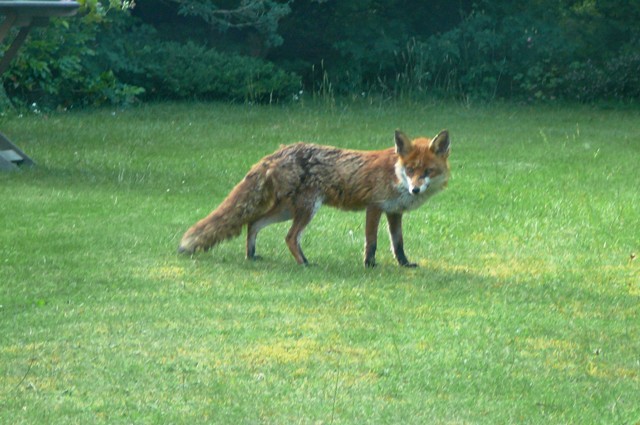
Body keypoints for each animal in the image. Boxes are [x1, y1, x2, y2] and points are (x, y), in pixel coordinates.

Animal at [178, 129, 451, 267]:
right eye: (410, 170)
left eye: (427, 172)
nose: (415, 190)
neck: (395, 174)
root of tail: (278, 152)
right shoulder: (374, 207)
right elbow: (371, 242)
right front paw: (370, 265)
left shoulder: (394, 212)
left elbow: (398, 244)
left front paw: (404, 264)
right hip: (308, 208)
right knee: (289, 237)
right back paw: (305, 263)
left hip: (287, 210)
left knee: (253, 223)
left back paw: (252, 255)